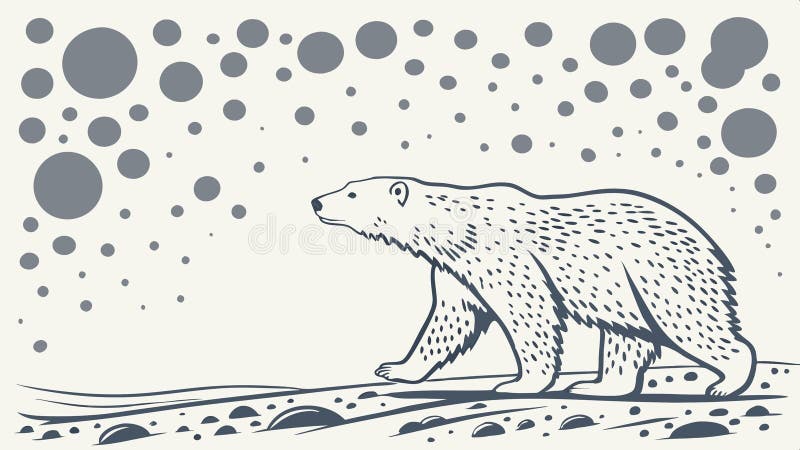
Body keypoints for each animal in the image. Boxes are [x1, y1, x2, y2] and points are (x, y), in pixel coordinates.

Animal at [312, 177, 756, 397]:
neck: (455, 228)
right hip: (622, 289)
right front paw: (395, 368)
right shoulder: (456, 270)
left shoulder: (503, 259)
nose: (316, 201)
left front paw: (518, 383)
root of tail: (708, 242)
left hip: (660, 274)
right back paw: (597, 386)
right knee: (627, 335)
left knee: (689, 323)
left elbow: (529, 313)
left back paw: (725, 383)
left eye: (351, 193)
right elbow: (448, 320)